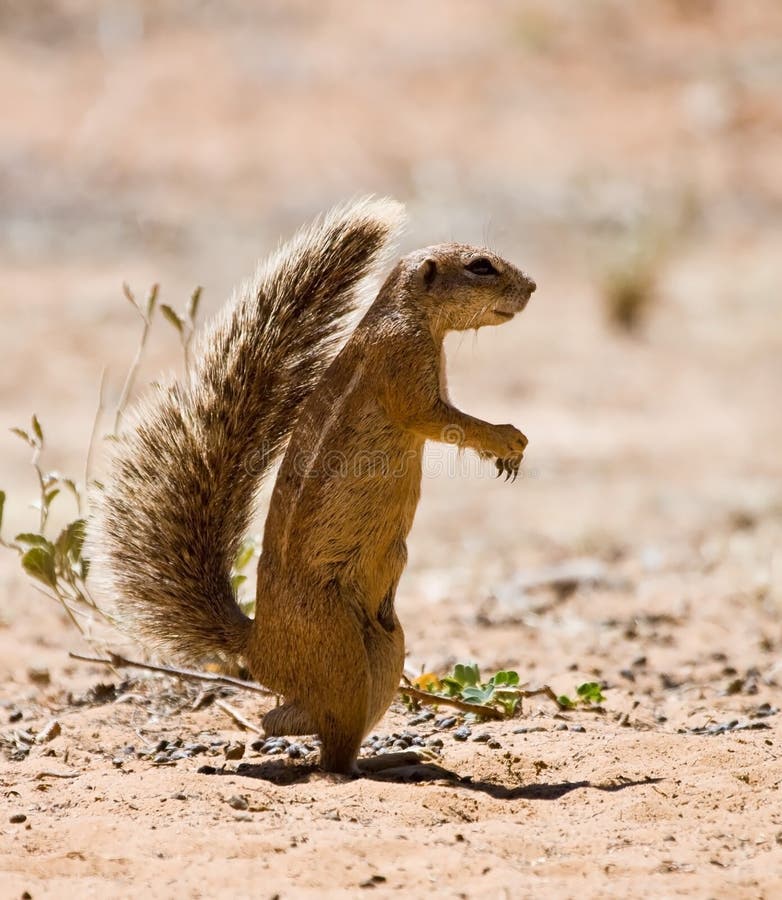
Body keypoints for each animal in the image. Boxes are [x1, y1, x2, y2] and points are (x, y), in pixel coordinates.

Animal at [92, 197, 536, 776]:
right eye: (481, 266)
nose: (532, 287)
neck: (409, 315)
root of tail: (257, 645)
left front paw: (505, 455)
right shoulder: (404, 365)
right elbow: (440, 420)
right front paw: (507, 438)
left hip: (388, 645)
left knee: (311, 727)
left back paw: (390, 756)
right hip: (338, 647)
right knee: (325, 748)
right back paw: (377, 763)